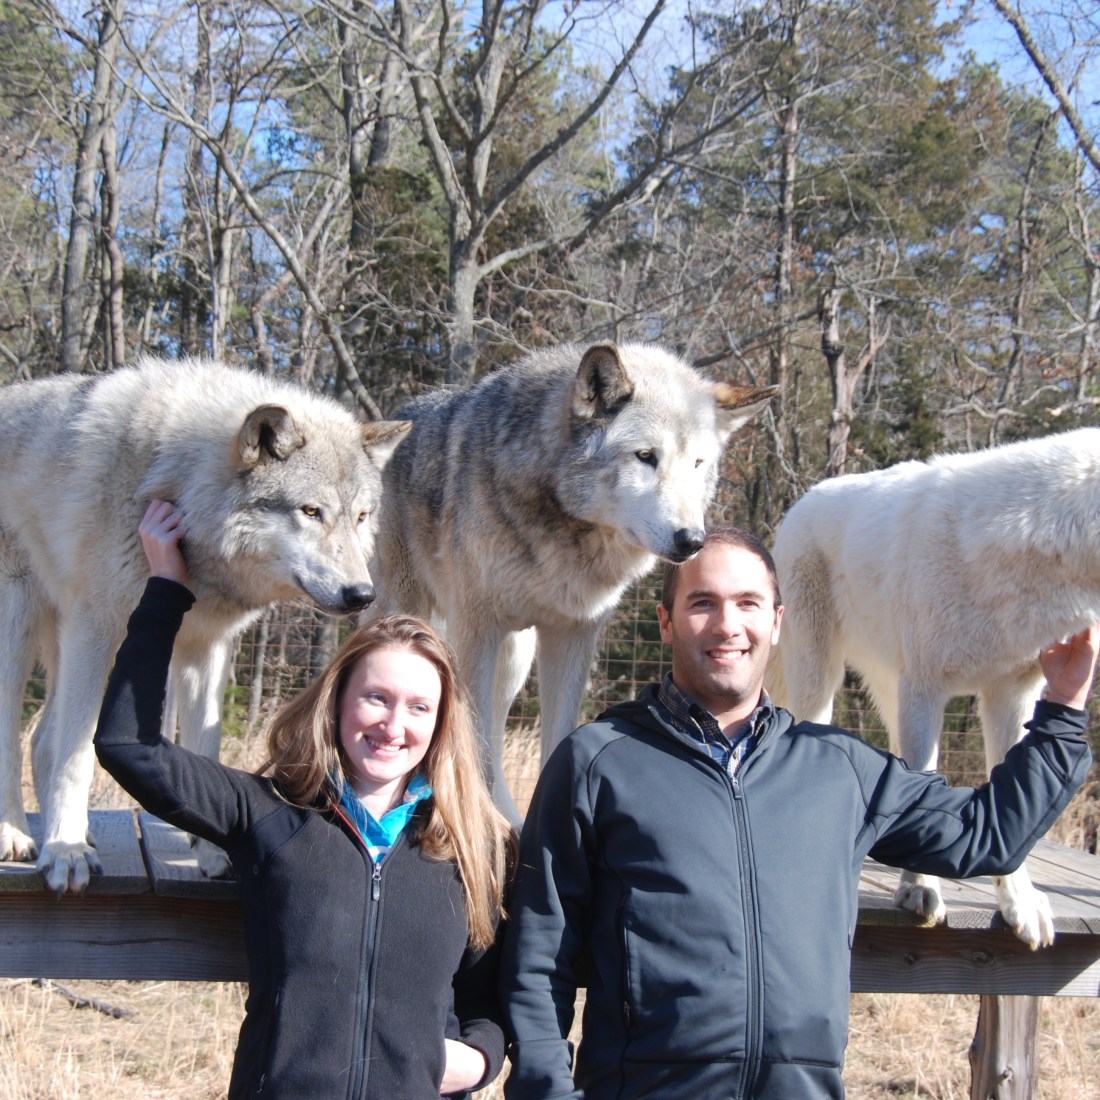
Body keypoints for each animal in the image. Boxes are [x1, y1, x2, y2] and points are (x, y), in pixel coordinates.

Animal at [0, 358, 409, 893]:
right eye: (310, 511)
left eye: (361, 517)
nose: (362, 595)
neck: (175, 484)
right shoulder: (95, 626)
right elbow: (77, 755)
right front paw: (64, 852)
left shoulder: (205, 647)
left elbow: (205, 751)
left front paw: (214, 854)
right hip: (23, 624)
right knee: (17, 734)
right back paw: (18, 834)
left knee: (41, 737)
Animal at [371, 340, 777, 819]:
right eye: (646, 457)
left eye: (697, 464)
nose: (692, 540)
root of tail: (401, 412)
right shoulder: (478, 629)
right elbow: (475, 755)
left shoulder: (572, 633)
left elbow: (557, 744)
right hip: (420, 618)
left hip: (514, 657)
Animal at [765, 427, 1100, 948]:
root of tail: (803, 501)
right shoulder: (926, 688)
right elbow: (925, 772)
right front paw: (919, 889)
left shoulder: (1011, 695)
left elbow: (1012, 800)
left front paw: (1019, 902)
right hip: (823, 679)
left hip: (889, 687)